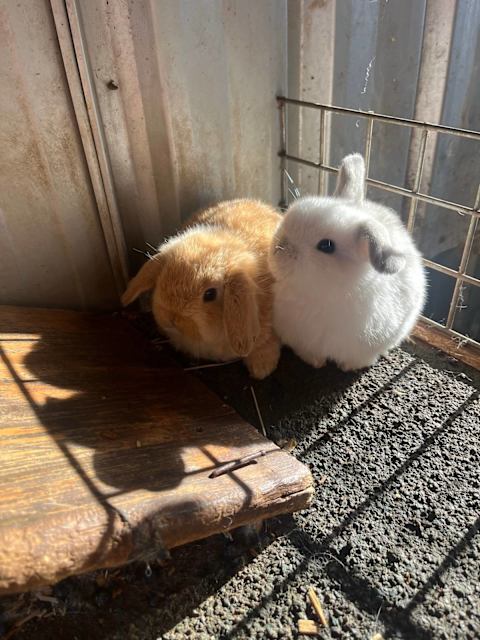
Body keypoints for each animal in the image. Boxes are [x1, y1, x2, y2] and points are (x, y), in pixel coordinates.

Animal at [269, 153, 426, 372]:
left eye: (326, 246)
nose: (279, 248)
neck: (322, 297)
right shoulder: (301, 340)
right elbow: (309, 354)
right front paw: (316, 363)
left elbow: (357, 360)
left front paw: (347, 368)